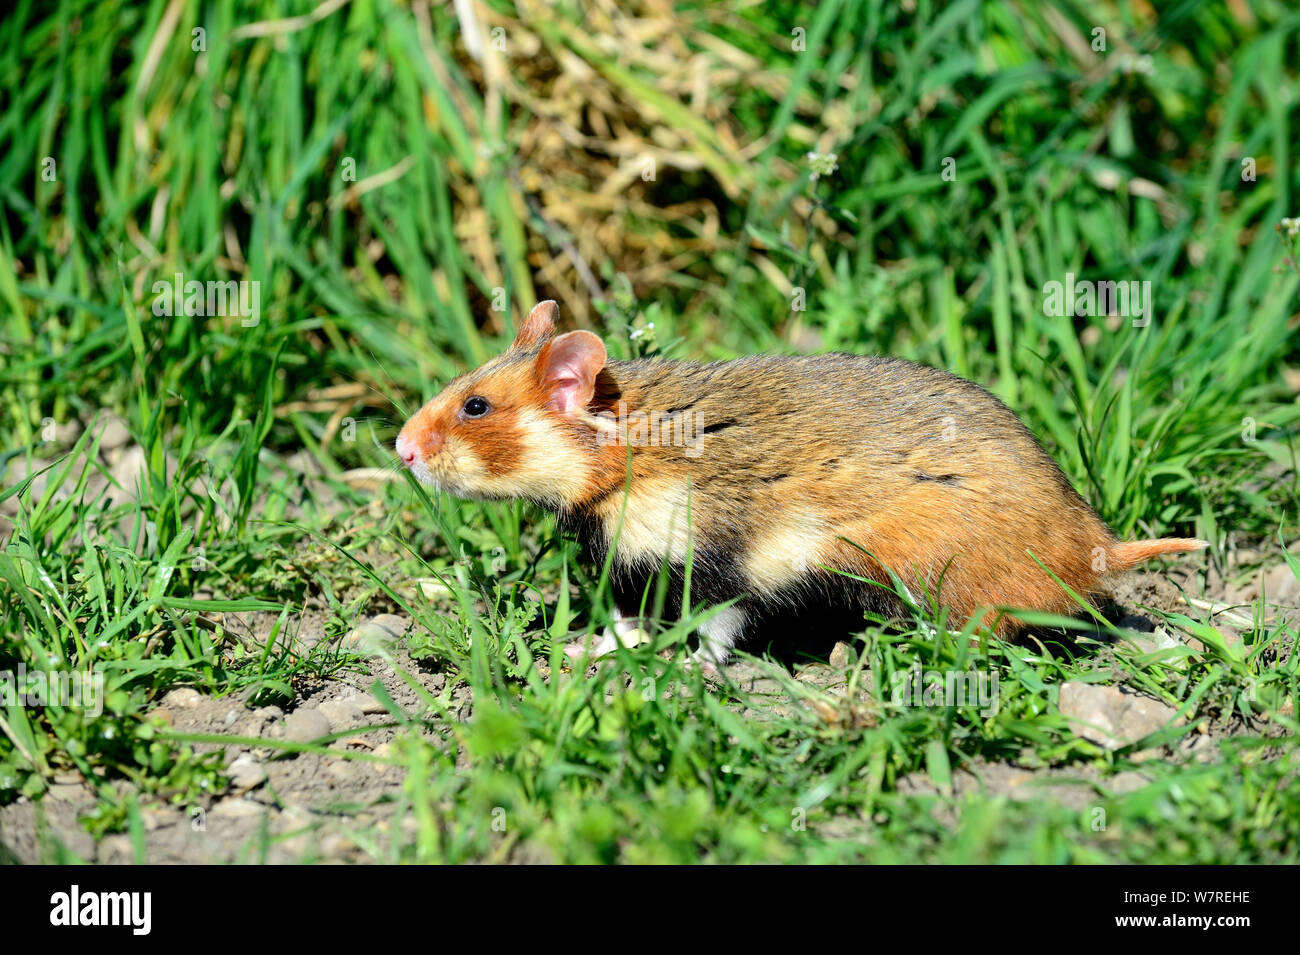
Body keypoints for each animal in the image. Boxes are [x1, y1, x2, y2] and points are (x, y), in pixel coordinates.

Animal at [396, 300, 1205, 669]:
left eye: (475, 407)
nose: (400, 449)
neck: (625, 457)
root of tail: (1098, 547)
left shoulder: (719, 562)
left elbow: (716, 629)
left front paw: (692, 670)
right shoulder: (634, 565)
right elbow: (628, 620)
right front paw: (582, 650)